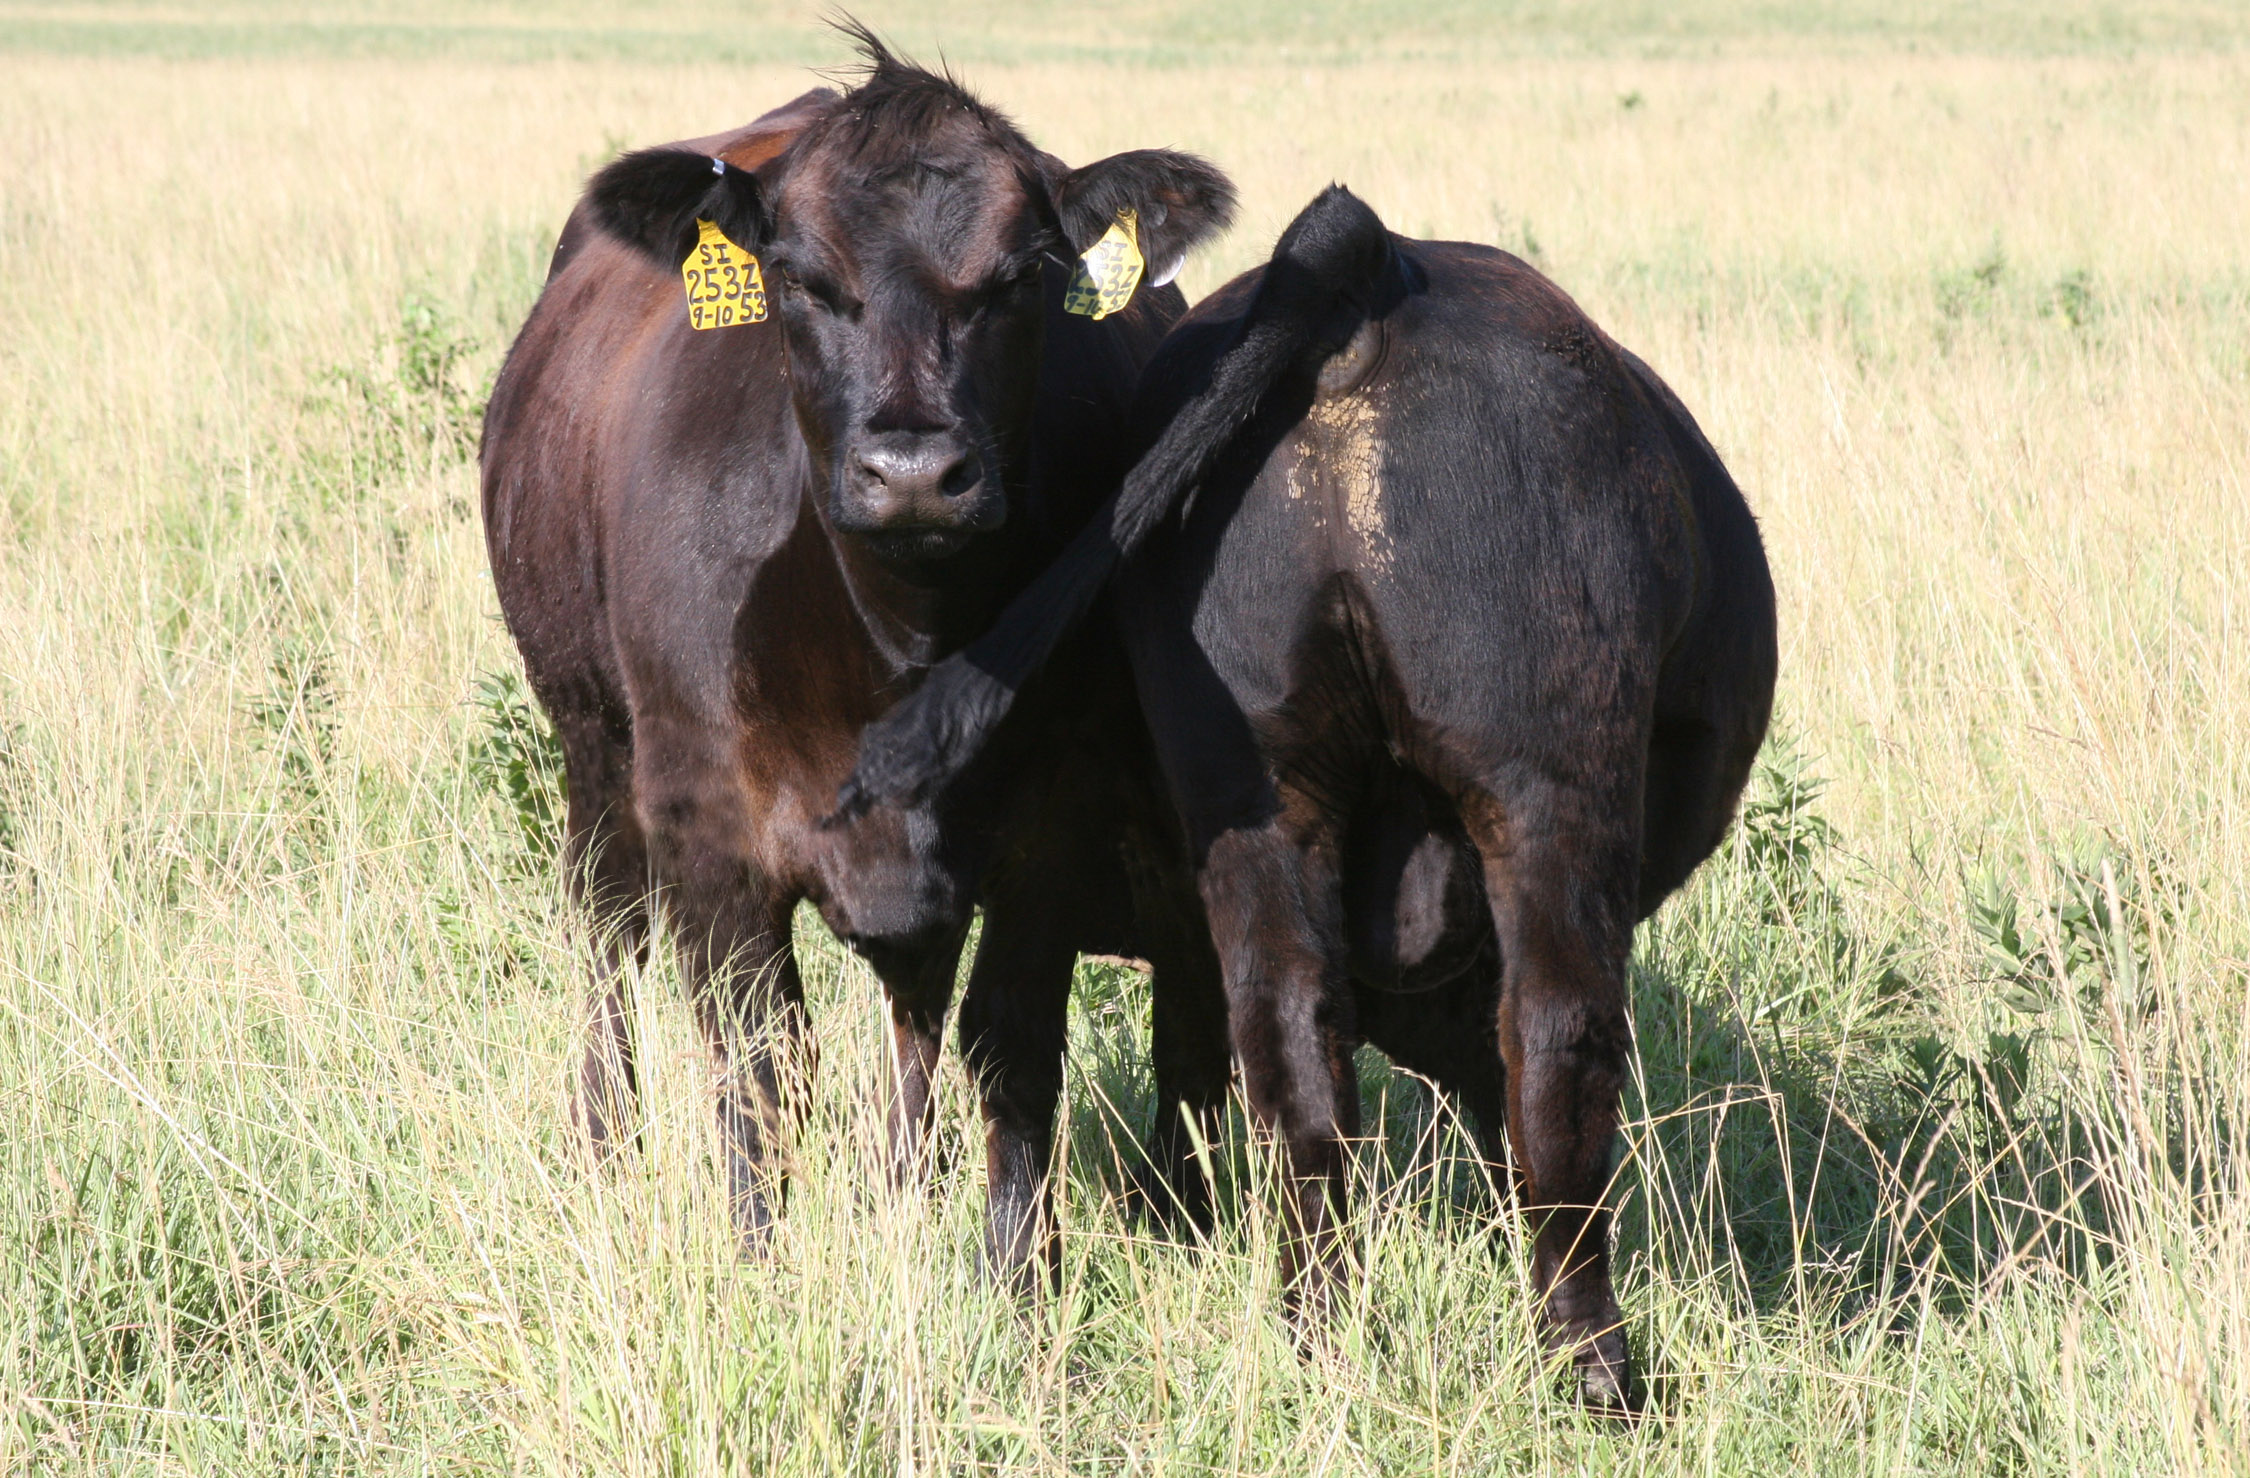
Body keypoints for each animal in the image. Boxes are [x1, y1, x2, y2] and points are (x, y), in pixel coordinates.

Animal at [479, 29, 1238, 1280]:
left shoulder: (1051, 823)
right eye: (800, 279)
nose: (915, 472)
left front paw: (1017, 1280)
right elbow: (761, 1064)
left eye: (1018, 278)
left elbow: (1011, 1046)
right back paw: (604, 1139)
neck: (897, 646)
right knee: (607, 934)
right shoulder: (709, 833)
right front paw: (757, 1268)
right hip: (588, 746)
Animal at [838, 185, 1779, 1411]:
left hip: (1257, 795)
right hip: (1548, 783)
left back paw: (1317, 1335)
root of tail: (1366, 256)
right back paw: (1593, 1365)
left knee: (1282, 1039)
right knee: (1556, 1039)